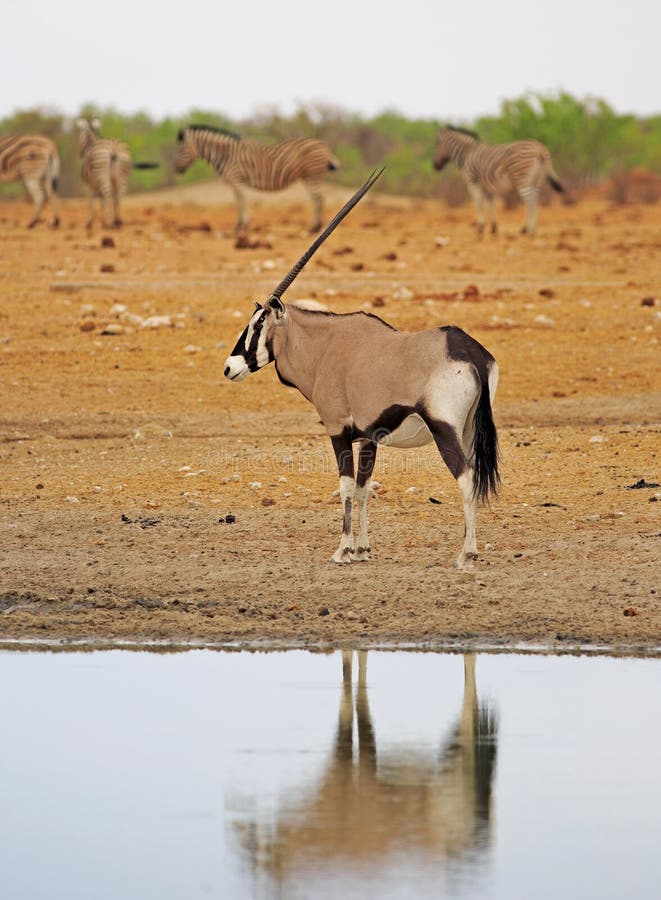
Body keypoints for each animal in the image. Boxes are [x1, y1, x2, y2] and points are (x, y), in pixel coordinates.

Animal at [174, 124, 340, 233]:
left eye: (181, 150)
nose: (177, 169)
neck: (225, 155)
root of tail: (324, 146)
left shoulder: (236, 179)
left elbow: (241, 201)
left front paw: (241, 226)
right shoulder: (235, 182)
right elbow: (239, 201)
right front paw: (240, 225)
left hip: (313, 175)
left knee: (318, 199)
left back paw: (314, 228)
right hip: (308, 177)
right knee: (317, 198)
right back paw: (317, 226)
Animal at [224, 170, 500, 568]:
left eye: (258, 324)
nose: (229, 367)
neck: (325, 346)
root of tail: (470, 351)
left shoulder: (338, 428)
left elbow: (345, 486)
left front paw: (342, 550)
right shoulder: (370, 436)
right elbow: (363, 487)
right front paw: (363, 549)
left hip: (445, 429)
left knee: (464, 478)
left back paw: (466, 554)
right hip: (467, 430)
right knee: (474, 477)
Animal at [433, 125, 564, 235]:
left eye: (437, 144)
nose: (435, 166)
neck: (466, 155)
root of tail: (539, 148)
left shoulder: (472, 181)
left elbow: (478, 202)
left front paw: (480, 228)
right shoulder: (486, 185)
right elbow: (491, 203)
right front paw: (493, 228)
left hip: (522, 179)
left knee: (530, 201)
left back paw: (528, 229)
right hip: (536, 181)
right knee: (535, 199)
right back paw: (532, 229)